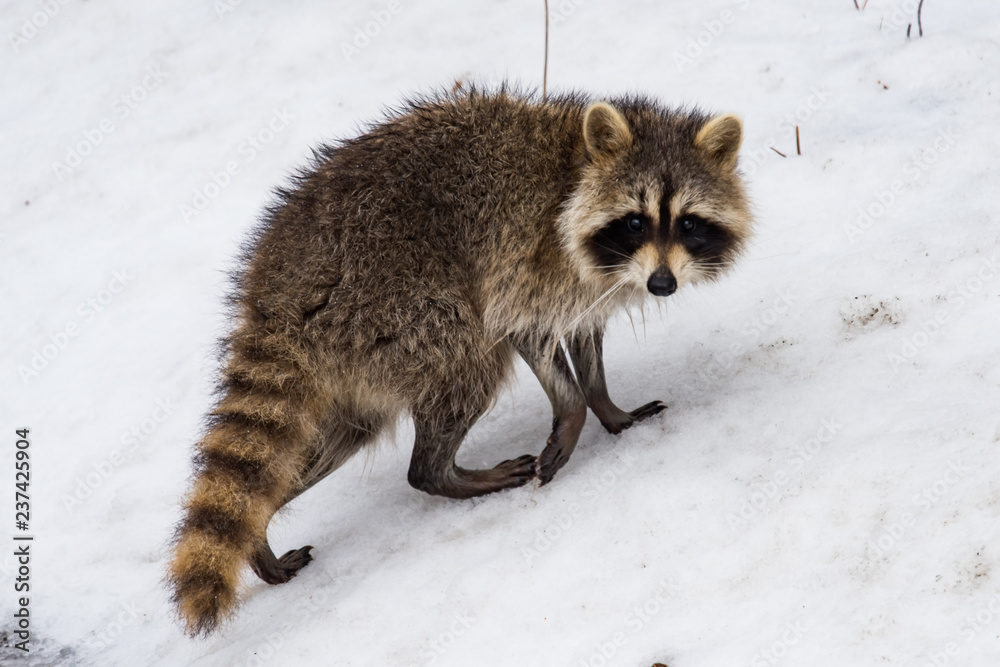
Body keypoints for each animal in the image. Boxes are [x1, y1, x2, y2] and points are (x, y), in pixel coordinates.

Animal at [168, 86, 752, 636]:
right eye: (635, 221)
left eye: (688, 223)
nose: (662, 285)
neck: (575, 168)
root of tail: (274, 294)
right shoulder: (525, 266)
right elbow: (525, 336)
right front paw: (573, 415)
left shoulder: (588, 287)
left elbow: (587, 343)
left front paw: (610, 409)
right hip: (398, 307)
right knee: (468, 366)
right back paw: (442, 472)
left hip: (349, 364)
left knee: (311, 450)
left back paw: (258, 530)